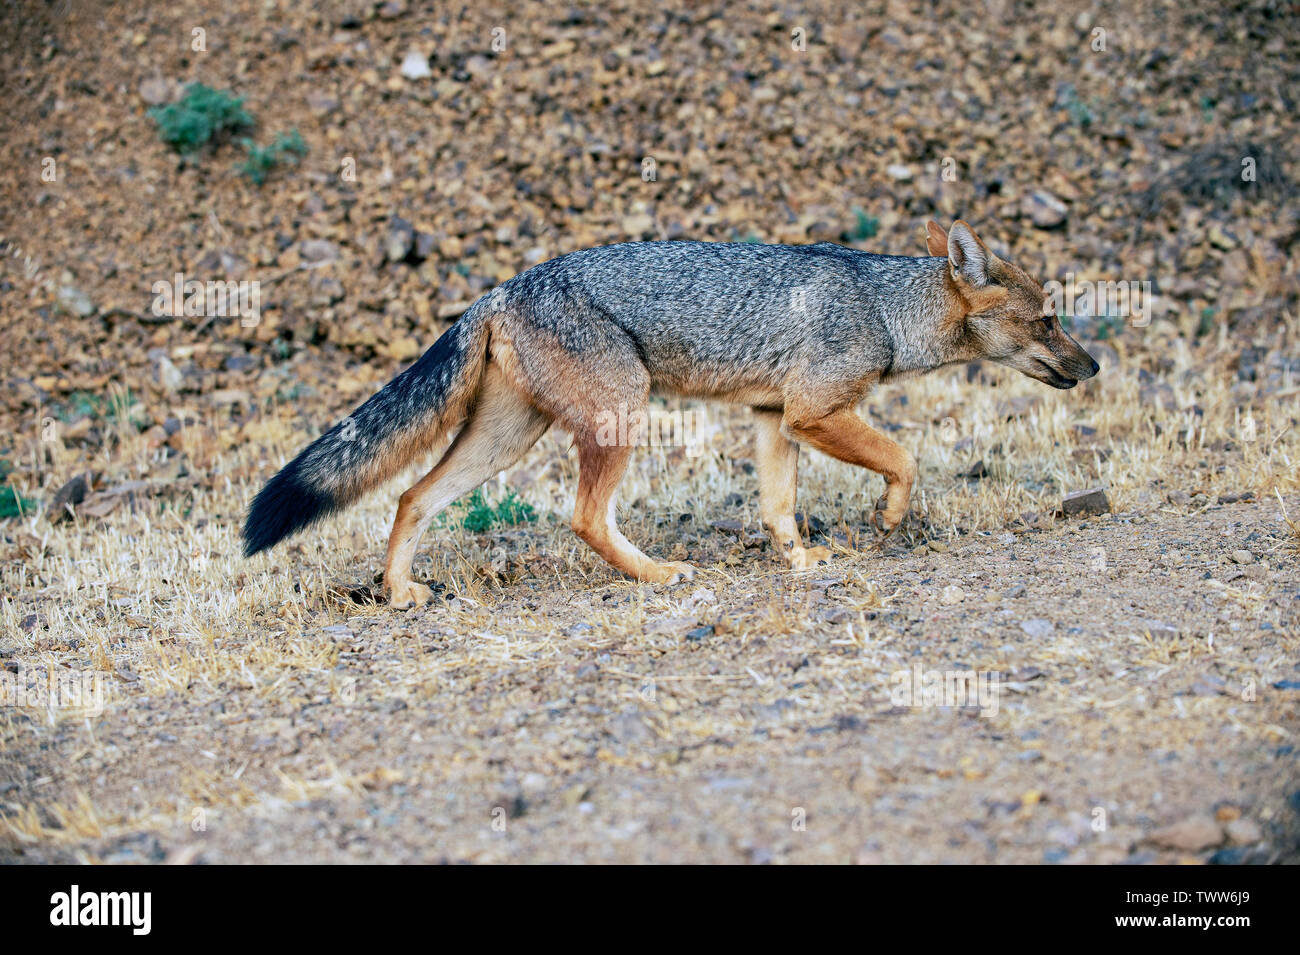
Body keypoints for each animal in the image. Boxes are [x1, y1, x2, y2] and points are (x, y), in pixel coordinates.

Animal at [242, 220, 1099, 608]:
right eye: (1050, 321)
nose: (1095, 367)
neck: (882, 307)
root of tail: (501, 287)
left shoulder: (772, 416)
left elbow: (778, 507)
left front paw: (801, 562)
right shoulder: (813, 412)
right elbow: (905, 458)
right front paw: (888, 519)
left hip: (508, 438)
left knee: (412, 495)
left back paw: (399, 591)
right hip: (621, 412)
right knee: (584, 516)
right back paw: (657, 573)